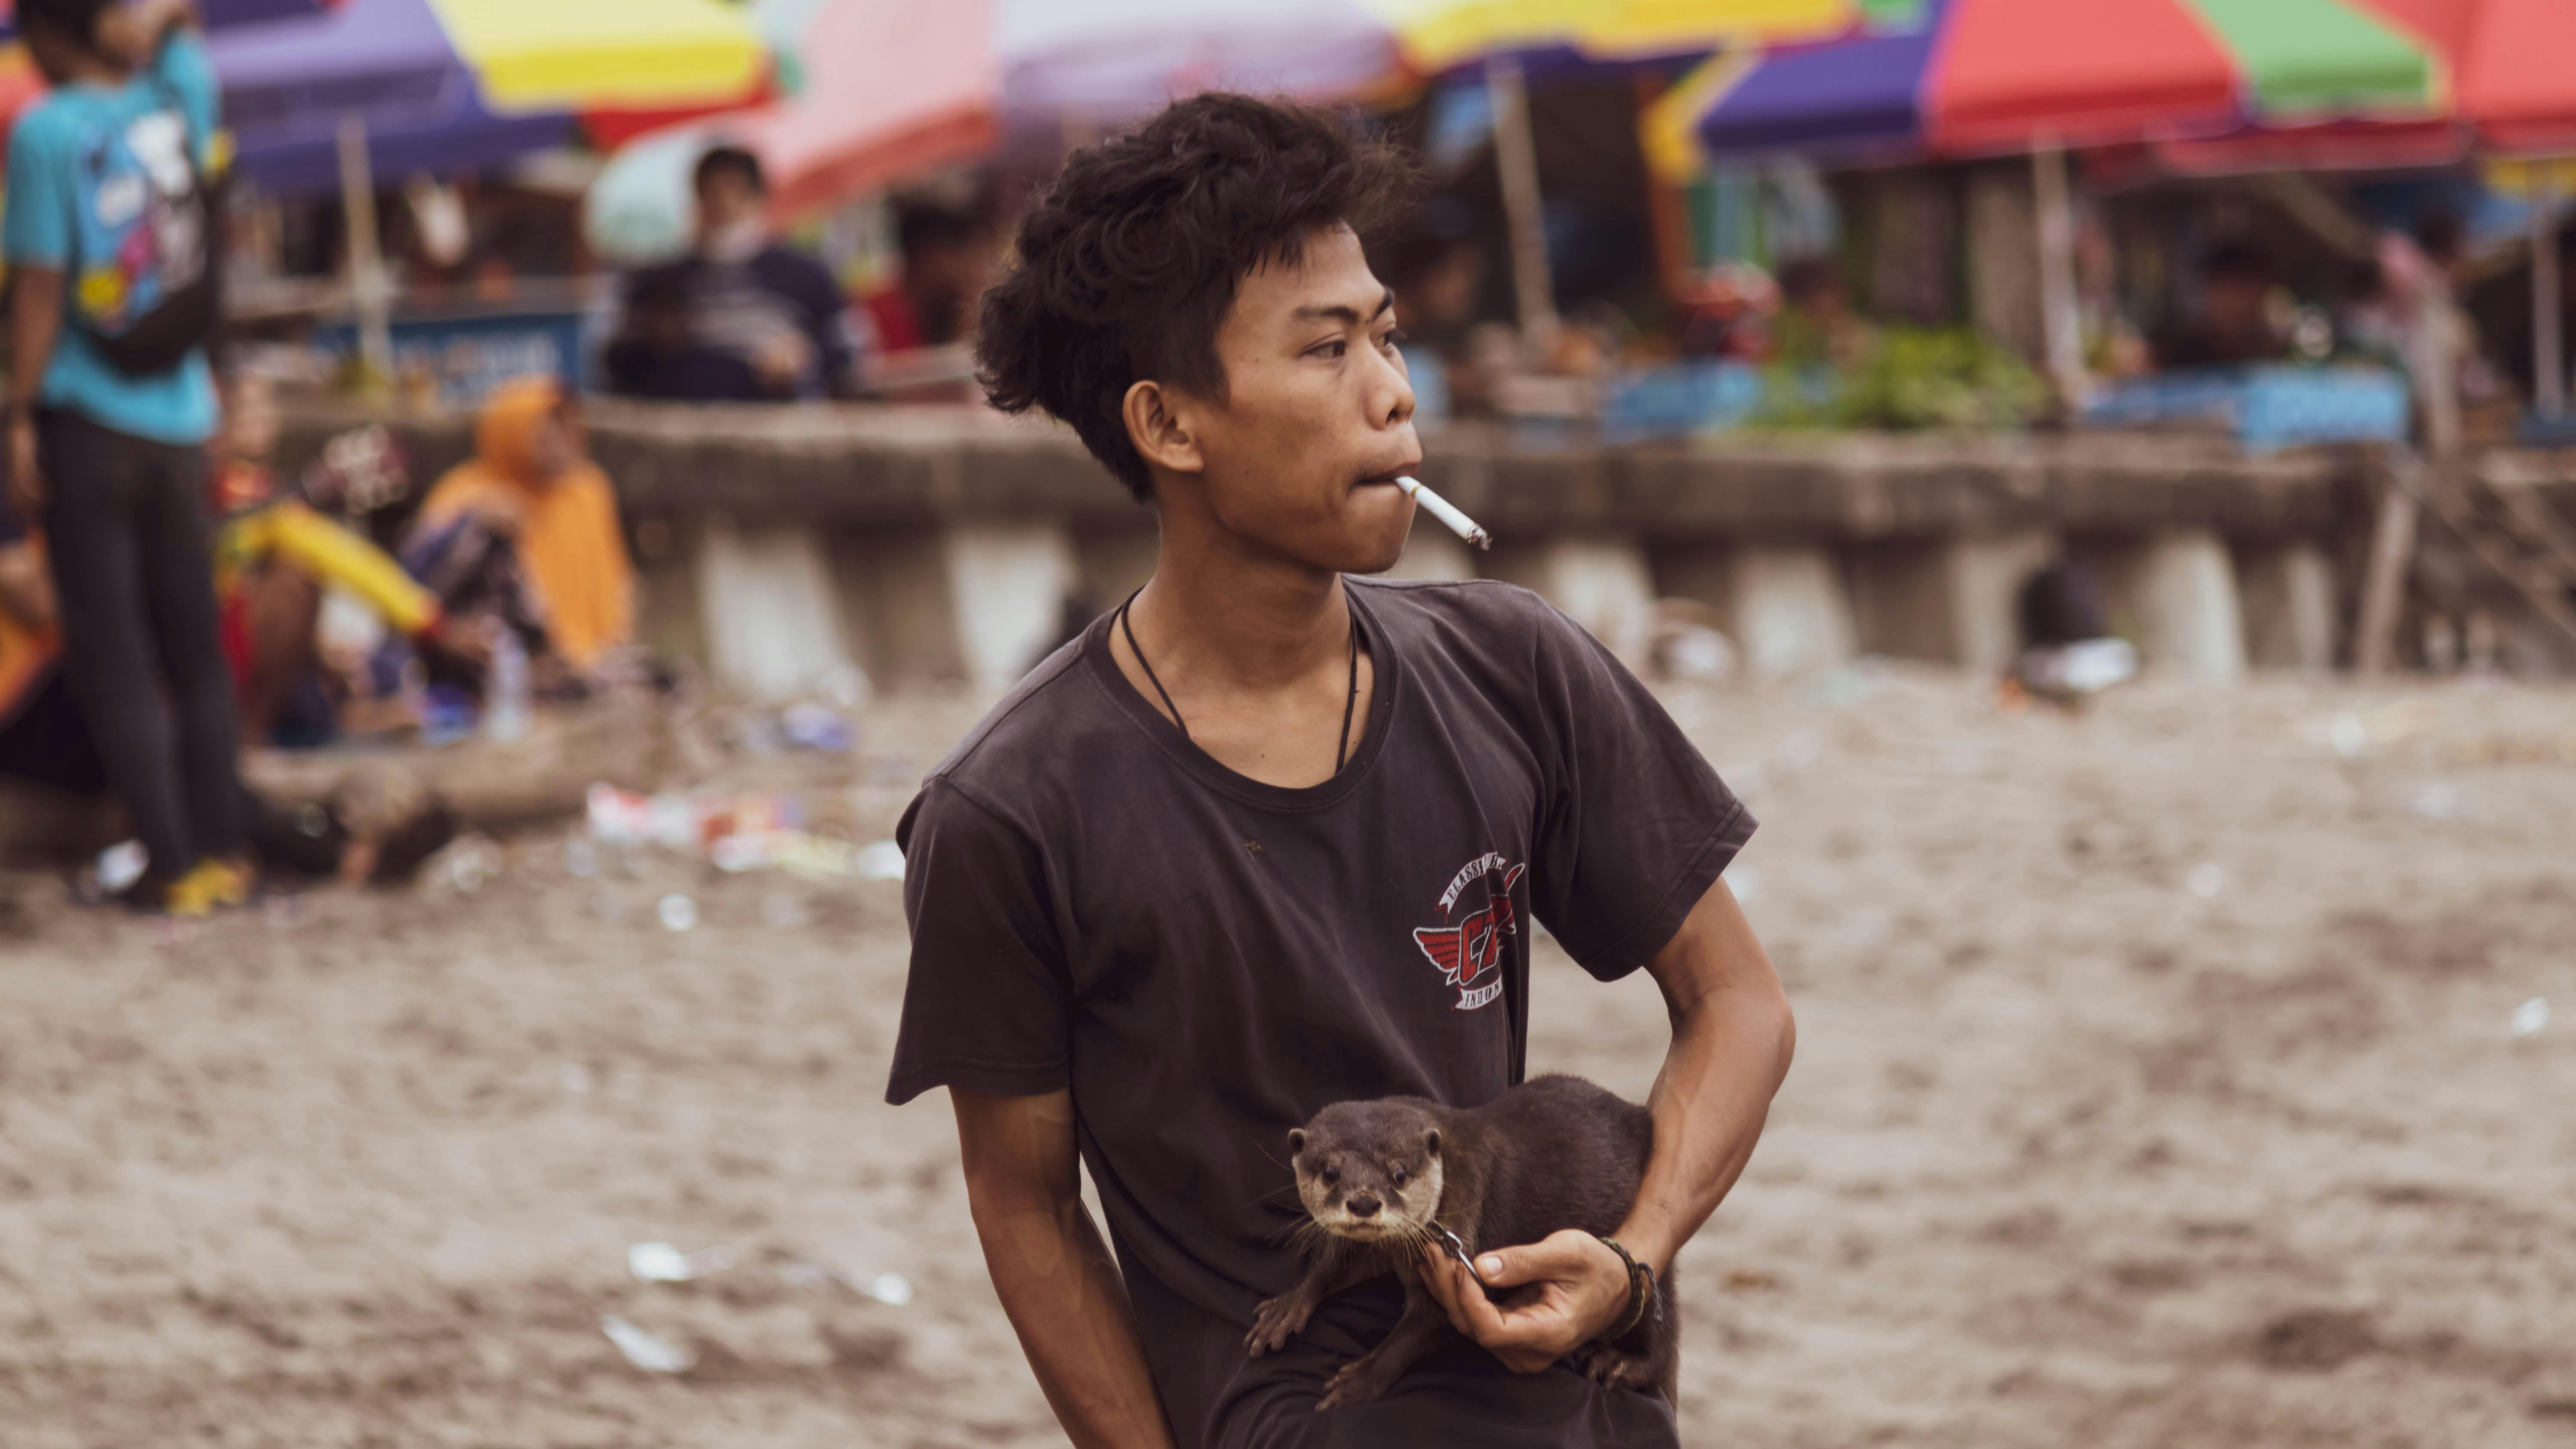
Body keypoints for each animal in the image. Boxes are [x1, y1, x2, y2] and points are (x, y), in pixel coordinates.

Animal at [1246, 1073, 1678, 1409]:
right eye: (1330, 1171)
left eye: (1399, 1174)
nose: (1365, 1202)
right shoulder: (1387, 1248)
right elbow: (1335, 1266)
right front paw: (1287, 1307)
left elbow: (1419, 1330)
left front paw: (1359, 1379)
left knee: (1660, 1321)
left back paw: (1622, 1364)